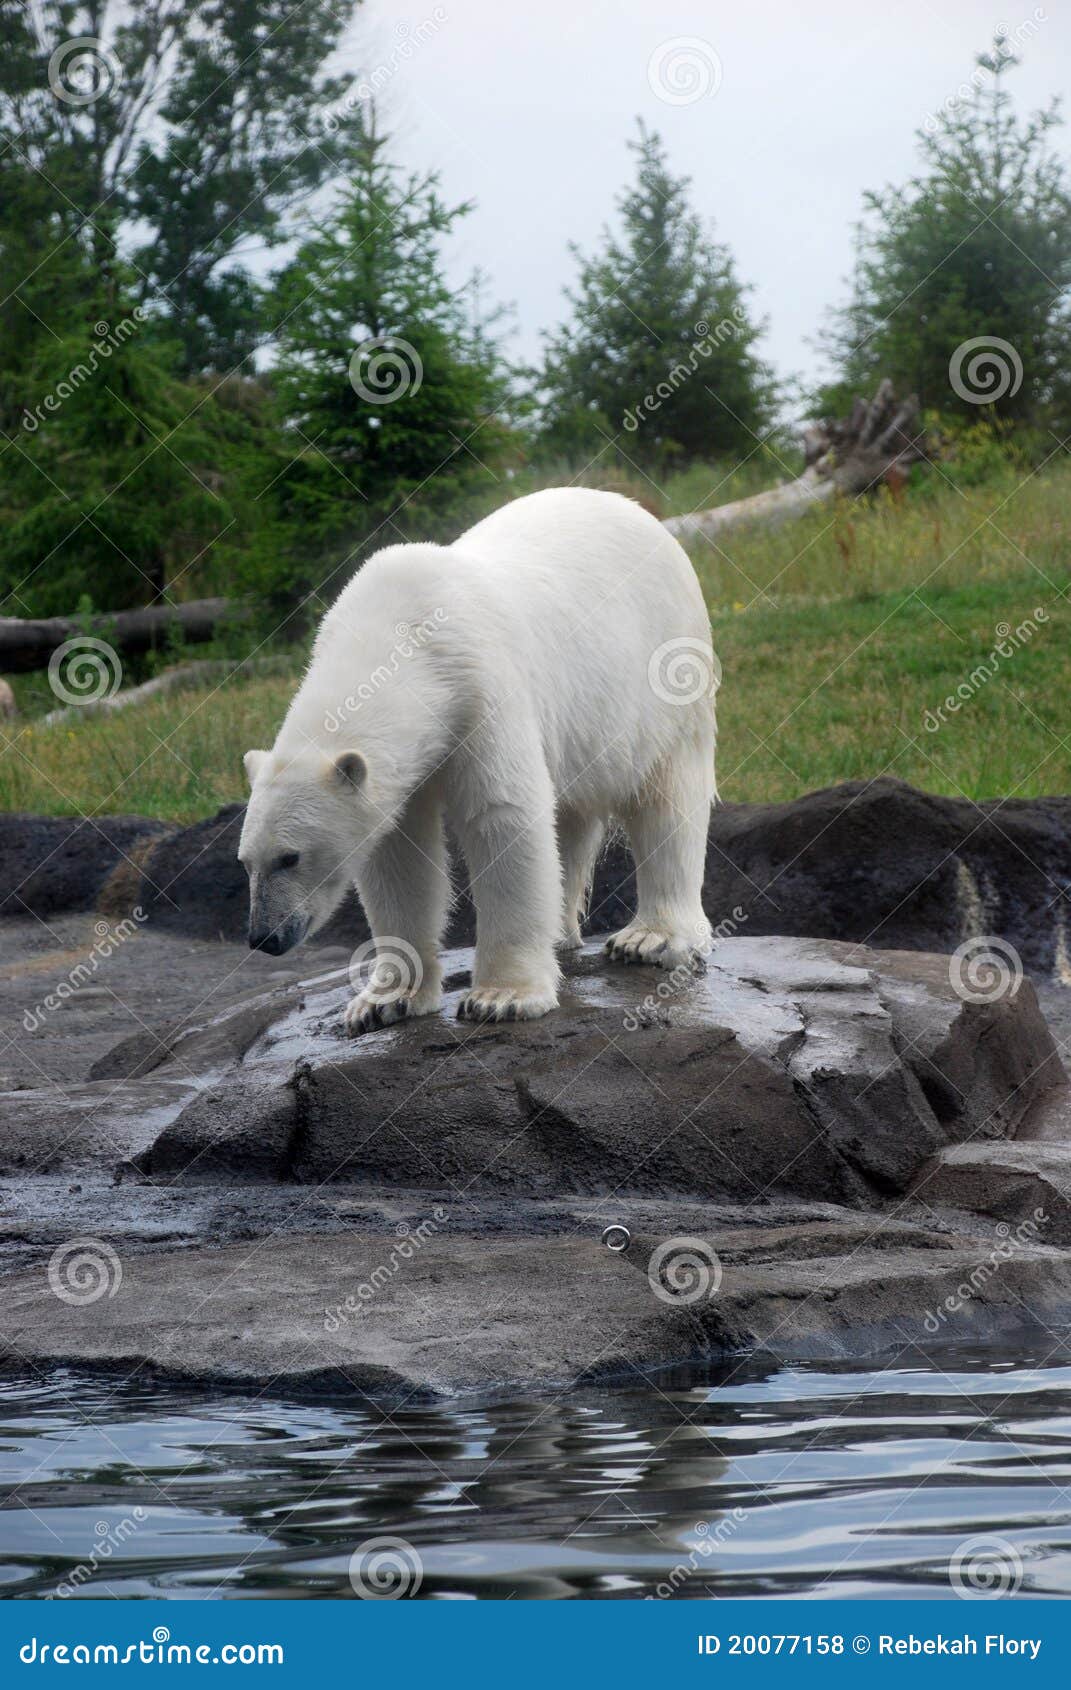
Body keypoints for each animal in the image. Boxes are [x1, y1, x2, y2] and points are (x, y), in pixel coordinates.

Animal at [238, 487, 717, 1032]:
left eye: (289, 857)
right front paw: (381, 1002)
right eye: (245, 862)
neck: (397, 637)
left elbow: (503, 817)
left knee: (666, 796)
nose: (265, 937)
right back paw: (561, 933)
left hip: (663, 674)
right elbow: (399, 857)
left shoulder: (478, 687)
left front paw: (501, 998)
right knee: (572, 813)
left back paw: (651, 938)